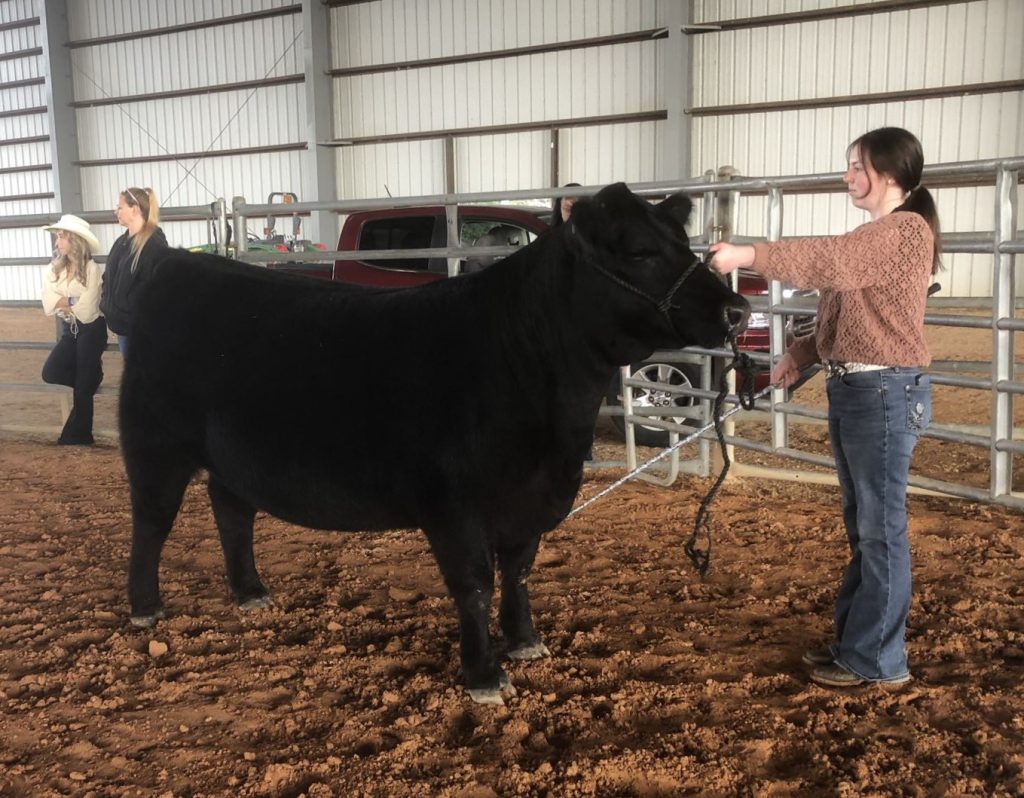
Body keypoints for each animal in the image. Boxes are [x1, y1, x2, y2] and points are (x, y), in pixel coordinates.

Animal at [121, 183, 750, 704]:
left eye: (685, 244)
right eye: (639, 251)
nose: (737, 309)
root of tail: (178, 266)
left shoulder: (532, 500)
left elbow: (518, 571)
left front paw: (526, 641)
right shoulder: (454, 505)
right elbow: (473, 584)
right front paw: (485, 676)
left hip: (230, 455)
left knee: (232, 510)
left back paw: (250, 591)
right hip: (154, 443)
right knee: (152, 521)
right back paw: (145, 609)